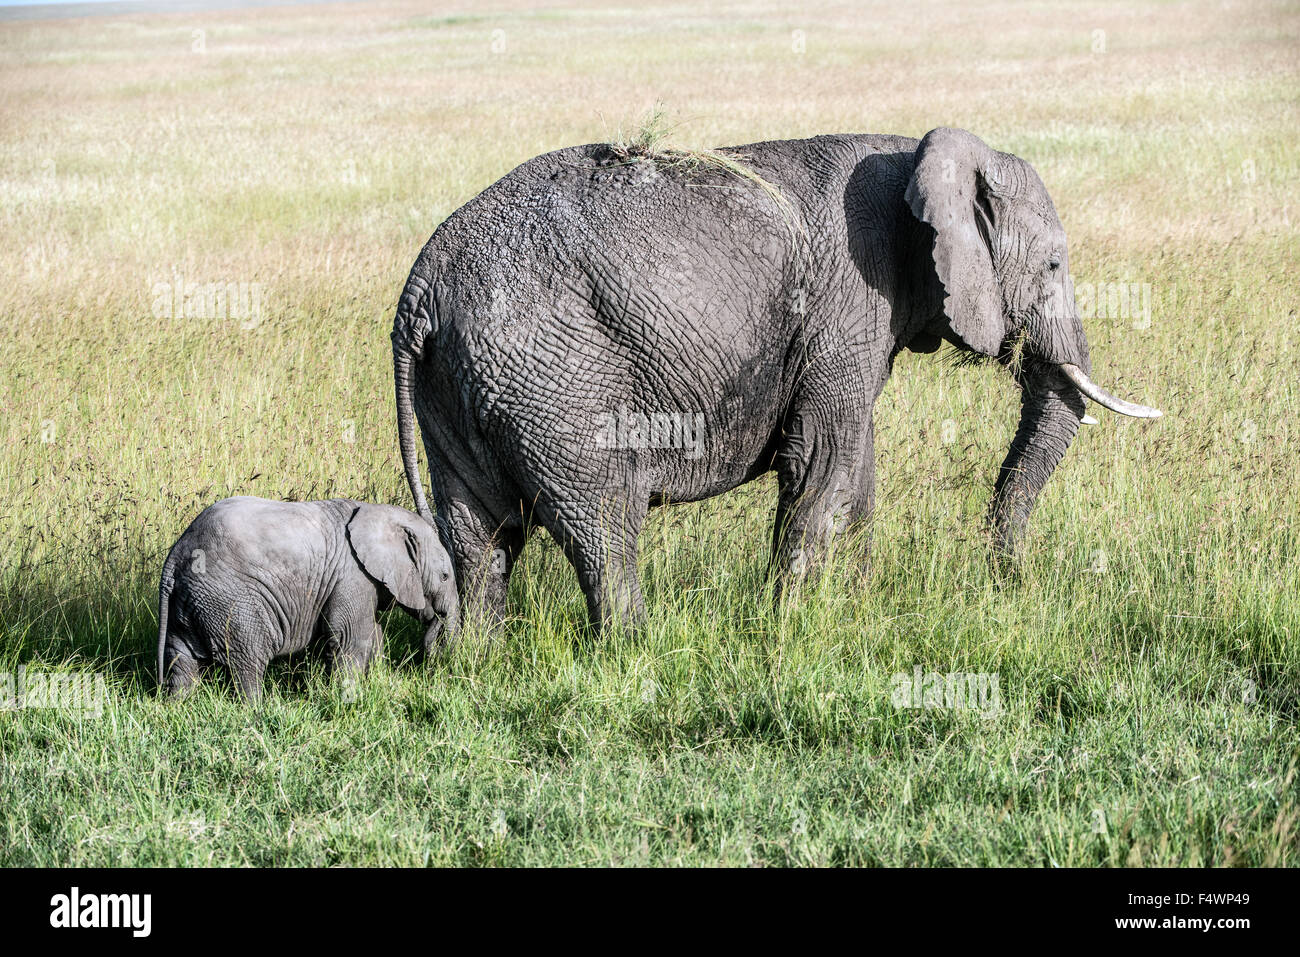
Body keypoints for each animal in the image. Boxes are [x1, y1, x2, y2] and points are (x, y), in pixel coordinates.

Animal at [157, 497, 458, 701]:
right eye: (444, 576)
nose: (433, 656)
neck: (376, 512)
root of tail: (176, 557)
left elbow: (373, 632)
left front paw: (378, 683)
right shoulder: (352, 576)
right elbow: (350, 639)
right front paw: (348, 699)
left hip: (189, 602)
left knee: (181, 660)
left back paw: (178, 705)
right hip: (228, 599)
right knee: (248, 659)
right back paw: (256, 710)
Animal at [391, 126, 1160, 634]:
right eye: (1055, 265)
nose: (1012, 583)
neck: (915, 152)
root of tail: (420, 291)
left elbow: (856, 466)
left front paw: (852, 608)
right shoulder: (848, 300)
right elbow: (821, 460)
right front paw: (790, 625)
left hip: (463, 381)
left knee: (480, 533)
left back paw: (480, 656)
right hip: (548, 372)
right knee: (603, 518)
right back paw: (637, 646)